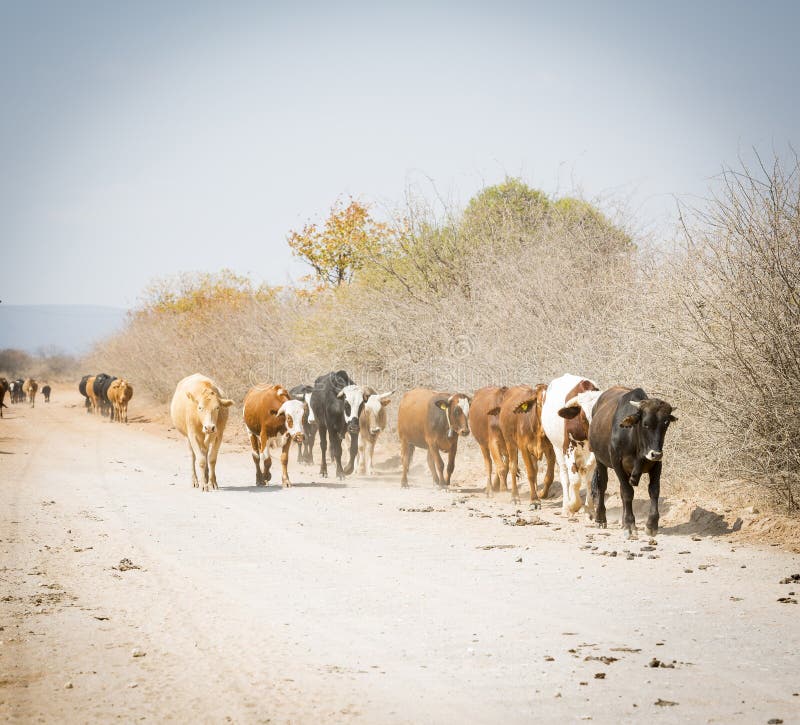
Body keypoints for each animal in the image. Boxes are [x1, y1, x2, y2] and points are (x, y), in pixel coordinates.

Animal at [541, 374, 603, 517]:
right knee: (565, 476)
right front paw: (573, 505)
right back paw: (565, 506)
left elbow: (588, 480)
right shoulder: (568, 449)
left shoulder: (594, 454)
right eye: (584, 417)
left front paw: (590, 509)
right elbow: (575, 480)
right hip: (557, 448)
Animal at [586, 386, 676, 539]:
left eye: (666, 424)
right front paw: (629, 525)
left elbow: (654, 491)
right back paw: (600, 518)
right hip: (599, 460)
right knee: (602, 485)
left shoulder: (657, 465)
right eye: (646, 423)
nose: (656, 453)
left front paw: (651, 525)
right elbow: (628, 492)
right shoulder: (617, 464)